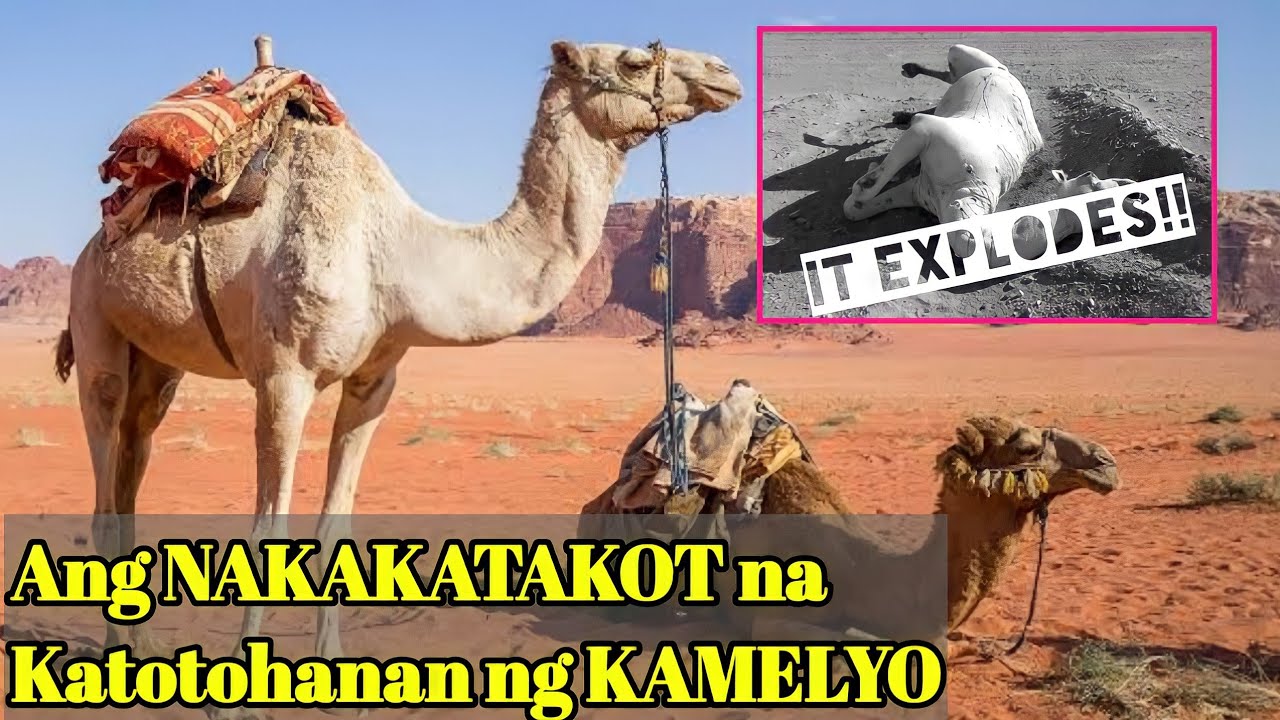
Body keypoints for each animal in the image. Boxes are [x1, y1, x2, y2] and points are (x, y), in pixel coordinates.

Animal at [54, 38, 741, 700]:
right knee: (104, 472)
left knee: (134, 459)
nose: (723, 72)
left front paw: (333, 668)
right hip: (95, 321)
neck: (396, 254)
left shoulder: (373, 383)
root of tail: (96, 241)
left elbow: (334, 533)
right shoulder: (284, 376)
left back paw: (142, 645)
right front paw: (243, 688)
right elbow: (268, 535)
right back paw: (117, 653)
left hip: (158, 363)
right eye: (633, 60)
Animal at [842, 45, 1043, 225]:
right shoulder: (927, 129)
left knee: (951, 77)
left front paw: (863, 186)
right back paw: (911, 74)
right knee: (952, 72)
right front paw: (865, 184)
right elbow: (875, 182)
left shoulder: (916, 189)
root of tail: (1005, 72)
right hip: (964, 54)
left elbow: (853, 209)